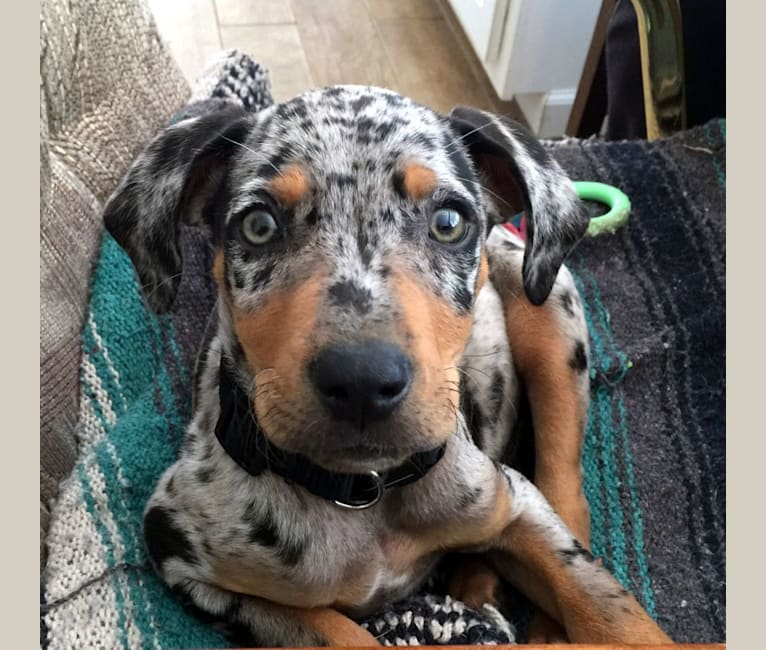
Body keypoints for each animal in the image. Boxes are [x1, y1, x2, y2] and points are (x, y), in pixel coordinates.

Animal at [105, 85, 676, 644]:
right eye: (258, 225)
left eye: (448, 222)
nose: (362, 381)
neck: (363, 496)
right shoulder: (188, 560)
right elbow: (338, 633)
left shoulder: (516, 504)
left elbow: (612, 609)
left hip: (550, 310)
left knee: (566, 488)